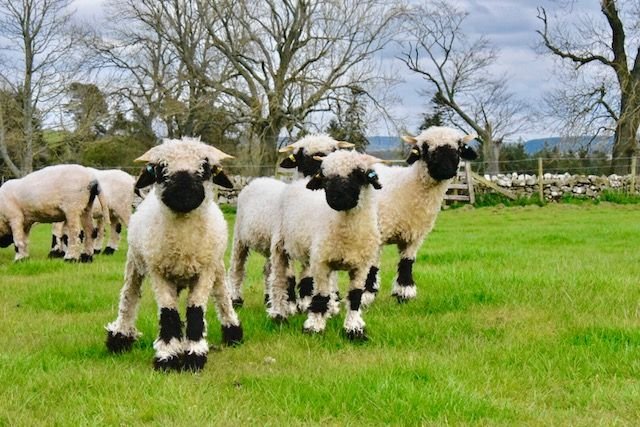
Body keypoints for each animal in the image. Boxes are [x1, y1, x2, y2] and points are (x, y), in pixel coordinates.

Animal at [105, 137, 242, 372]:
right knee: (129, 297)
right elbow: (168, 312)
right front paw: (167, 356)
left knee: (223, 297)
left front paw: (193, 355)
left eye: (205, 167)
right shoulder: (158, 272)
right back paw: (120, 337)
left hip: (216, 267)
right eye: (161, 168)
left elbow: (196, 311)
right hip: (135, 263)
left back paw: (232, 331)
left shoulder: (205, 271)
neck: (183, 242)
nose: (183, 194)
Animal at [227, 135, 353, 308]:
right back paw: (236, 300)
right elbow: (289, 277)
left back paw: (268, 298)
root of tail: (259, 180)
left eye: (334, 152)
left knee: (268, 269)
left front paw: (306, 303)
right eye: (301, 157)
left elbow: (308, 277)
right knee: (237, 267)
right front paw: (292, 304)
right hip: (240, 237)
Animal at [267, 150, 383, 340]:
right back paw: (278, 315)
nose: (336, 198)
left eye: (359, 174)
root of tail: (299, 182)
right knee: (278, 280)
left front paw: (353, 329)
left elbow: (355, 297)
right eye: (324, 177)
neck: (347, 233)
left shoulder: (361, 266)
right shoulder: (321, 263)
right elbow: (321, 295)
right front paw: (314, 327)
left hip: (312, 252)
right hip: (280, 245)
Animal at [361, 126, 477, 305]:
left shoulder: (414, 235)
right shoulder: (377, 232)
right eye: (425, 147)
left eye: (459, 147)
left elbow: (407, 263)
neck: (407, 186)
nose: (446, 169)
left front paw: (404, 293)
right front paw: (366, 295)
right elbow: (371, 266)